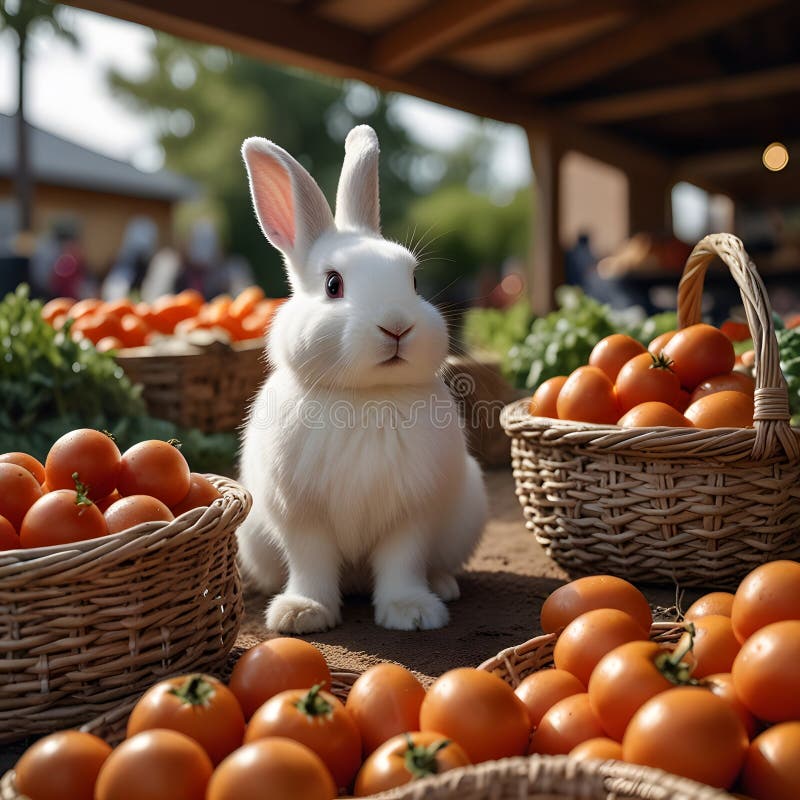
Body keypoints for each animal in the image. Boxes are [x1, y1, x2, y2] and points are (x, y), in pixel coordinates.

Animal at [236, 124, 488, 634]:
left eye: (414, 282)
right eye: (333, 285)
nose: (396, 326)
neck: (366, 396)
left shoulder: (411, 516)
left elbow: (402, 563)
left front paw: (412, 613)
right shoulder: (301, 516)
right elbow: (310, 564)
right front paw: (302, 614)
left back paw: (444, 587)